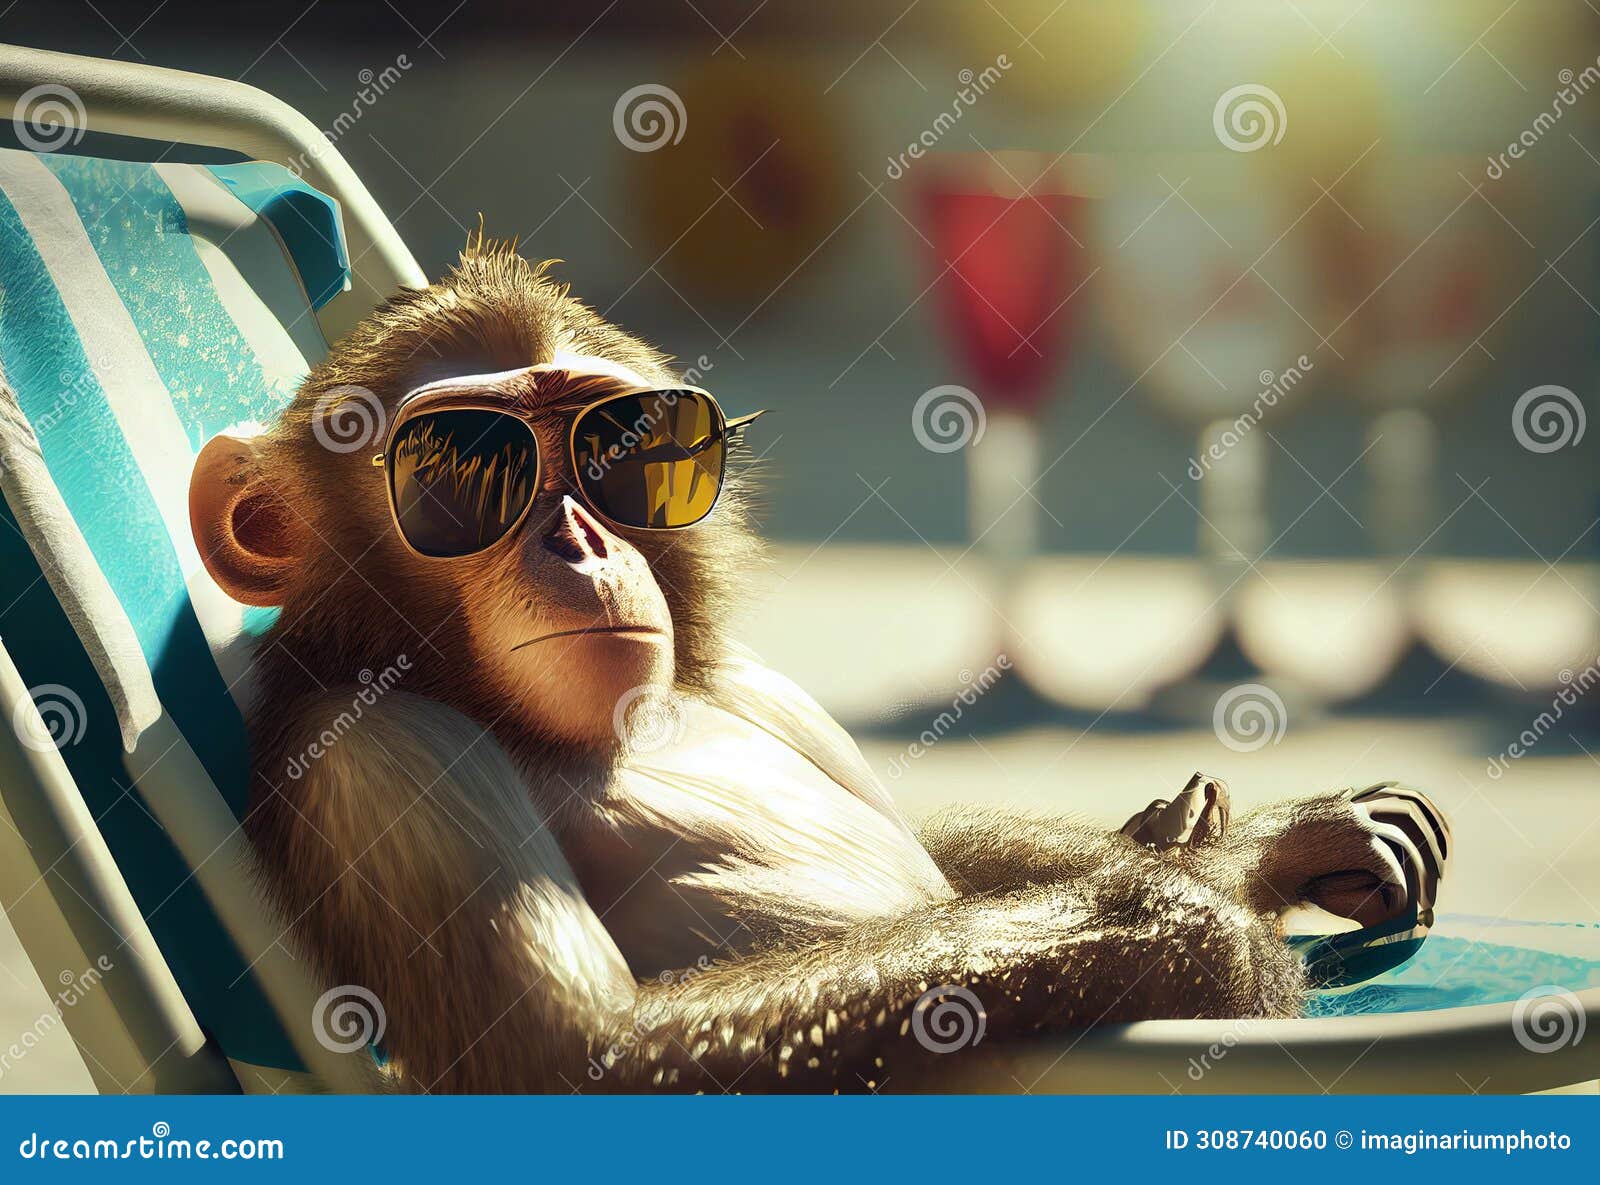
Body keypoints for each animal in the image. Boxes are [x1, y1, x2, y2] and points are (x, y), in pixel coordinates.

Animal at [188, 235, 1450, 1093]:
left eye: (620, 441)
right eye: (458, 464)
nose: (577, 537)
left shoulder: (765, 686)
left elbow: (928, 844)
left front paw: (1258, 843)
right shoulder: (378, 754)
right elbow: (581, 1050)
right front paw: (1192, 905)